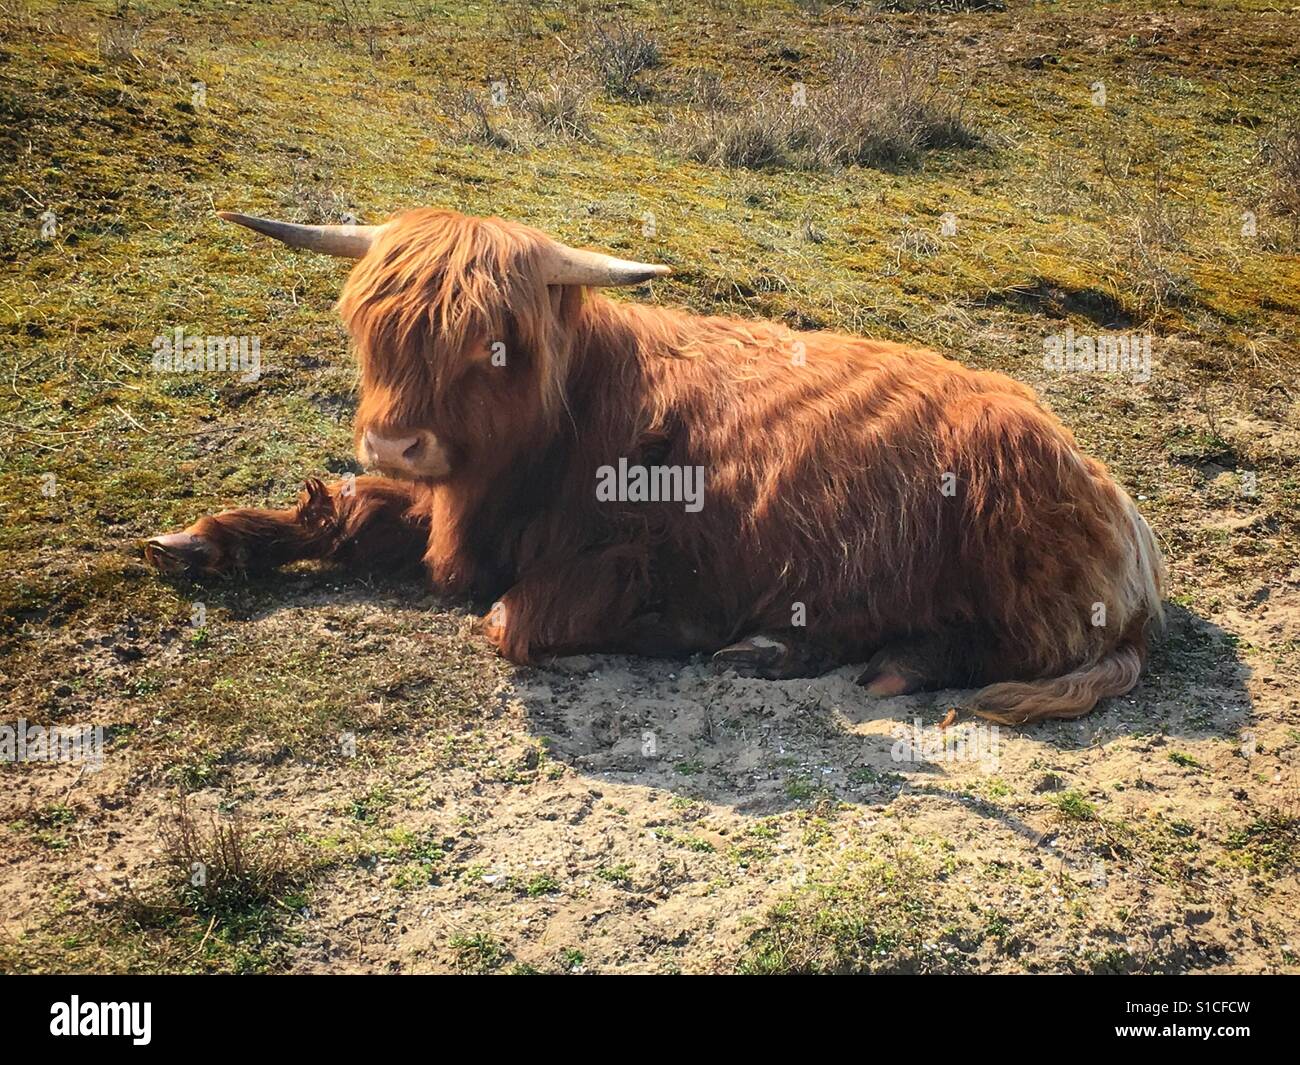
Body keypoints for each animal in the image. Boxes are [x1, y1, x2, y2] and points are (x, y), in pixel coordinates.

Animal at [144, 208, 1165, 725]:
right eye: (372, 324)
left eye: (495, 342)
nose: (397, 440)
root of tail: (1116, 499)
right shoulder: (450, 509)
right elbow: (347, 510)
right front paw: (199, 540)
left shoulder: (632, 552)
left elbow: (510, 619)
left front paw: (677, 628)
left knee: (980, 646)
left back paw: (805, 650)